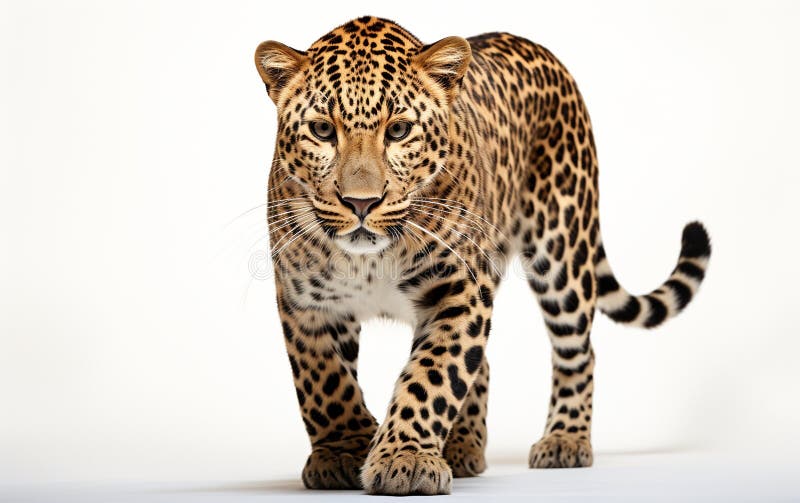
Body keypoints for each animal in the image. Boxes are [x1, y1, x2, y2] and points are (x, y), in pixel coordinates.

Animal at [253, 16, 711, 495]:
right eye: (323, 131)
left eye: (398, 131)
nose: (361, 203)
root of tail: (538, 48)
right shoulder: (305, 302)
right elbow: (327, 383)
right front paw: (343, 451)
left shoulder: (460, 289)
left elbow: (433, 375)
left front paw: (404, 459)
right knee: (484, 363)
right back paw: (463, 447)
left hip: (561, 251)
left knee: (577, 352)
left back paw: (564, 440)